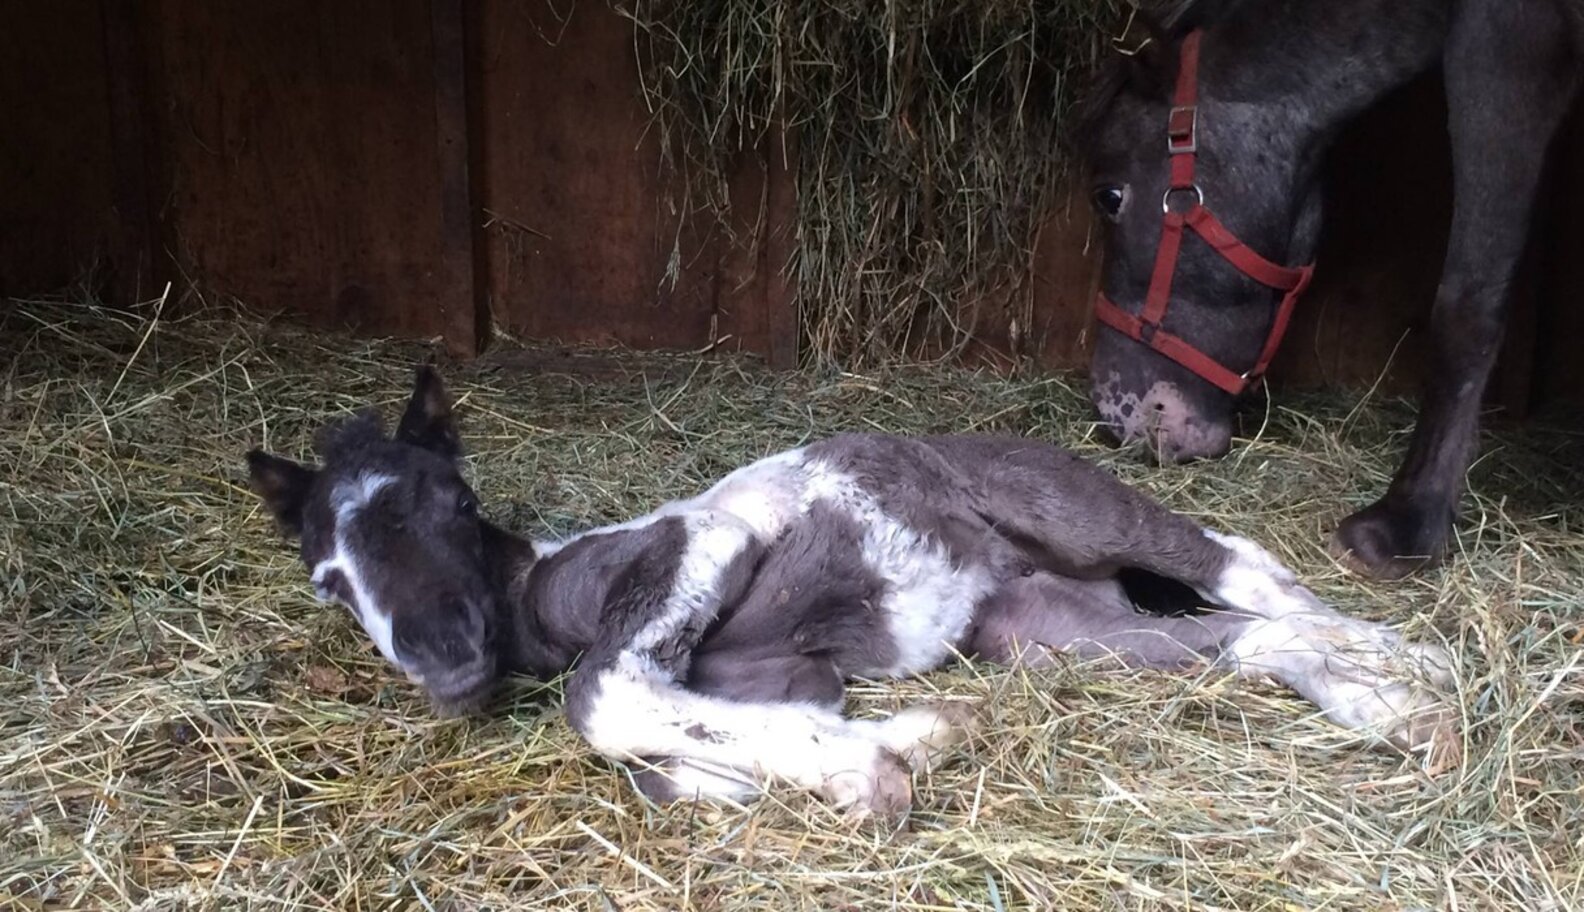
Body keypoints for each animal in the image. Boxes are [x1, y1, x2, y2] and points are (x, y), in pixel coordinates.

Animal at [246, 367, 1453, 816]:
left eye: (452, 499)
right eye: (327, 577)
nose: (444, 659)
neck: (558, 578)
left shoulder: (705, 544)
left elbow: (604, 701)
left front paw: (886, 758)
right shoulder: (791, 683)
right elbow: (689, 767)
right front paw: (891, 746)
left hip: (1071, 506)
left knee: (1238, 562)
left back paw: (1406, 664)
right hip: (1049, 629)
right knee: (1237, 640)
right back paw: (1390, 705)